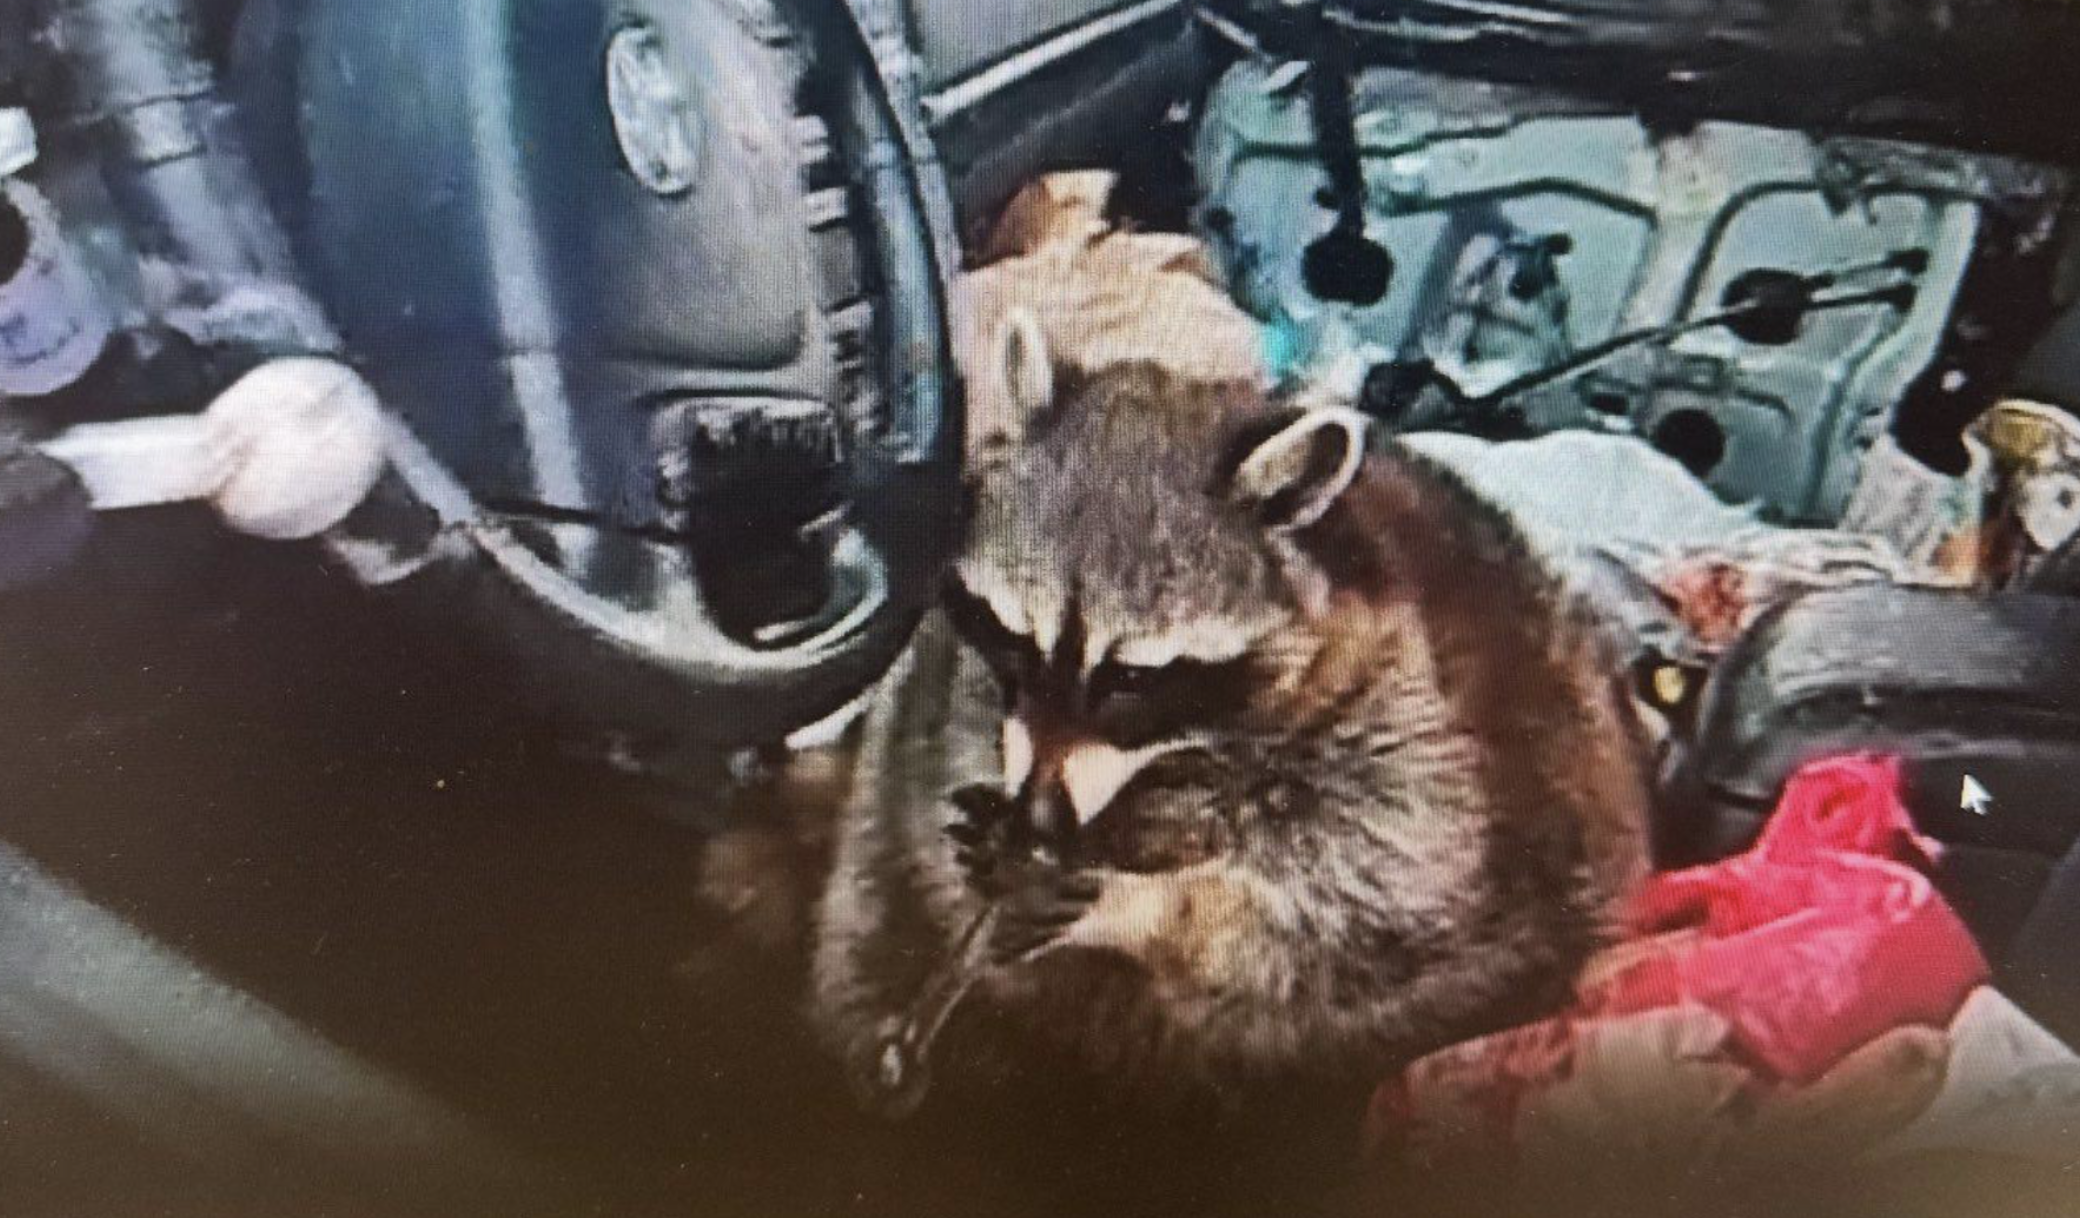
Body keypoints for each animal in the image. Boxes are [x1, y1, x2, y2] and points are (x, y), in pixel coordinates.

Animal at [807, 314, 1652, 1115]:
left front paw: (1136, 899)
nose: (1041, 822)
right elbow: (946, 759)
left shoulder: (1416, 733)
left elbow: (1348, 908)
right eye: (1015, 636)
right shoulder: (958, 685)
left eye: (1131, 677)